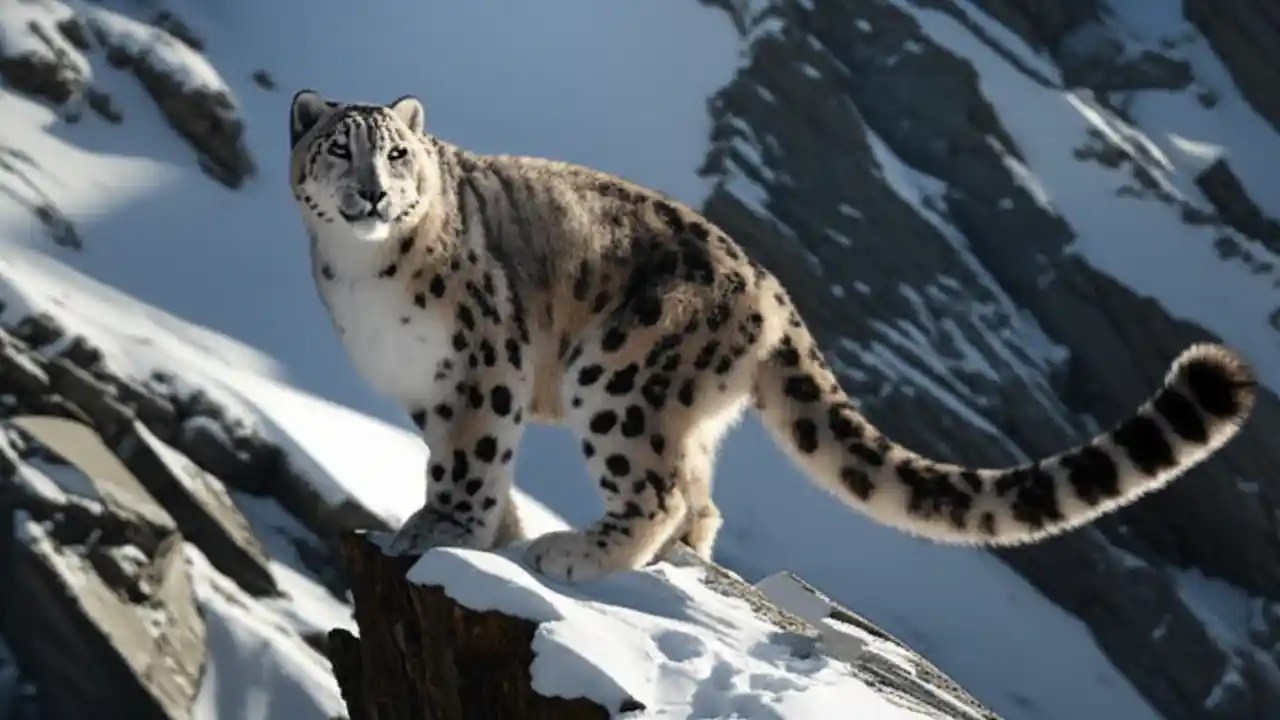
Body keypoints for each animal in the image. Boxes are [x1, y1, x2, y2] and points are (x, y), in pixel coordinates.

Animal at [287, 89, 1257, 583]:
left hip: (621, 372)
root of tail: (770, 286)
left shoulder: (484, 365)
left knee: (658, 491)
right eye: (340, 149)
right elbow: (466, 461)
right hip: (675, 405)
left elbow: (472, 458)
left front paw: (446, 531)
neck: (362, 276)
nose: (373, 192)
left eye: (398, 153)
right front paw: (478, 529)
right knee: (698, 496)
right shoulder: (426, 388)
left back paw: (577, 554)